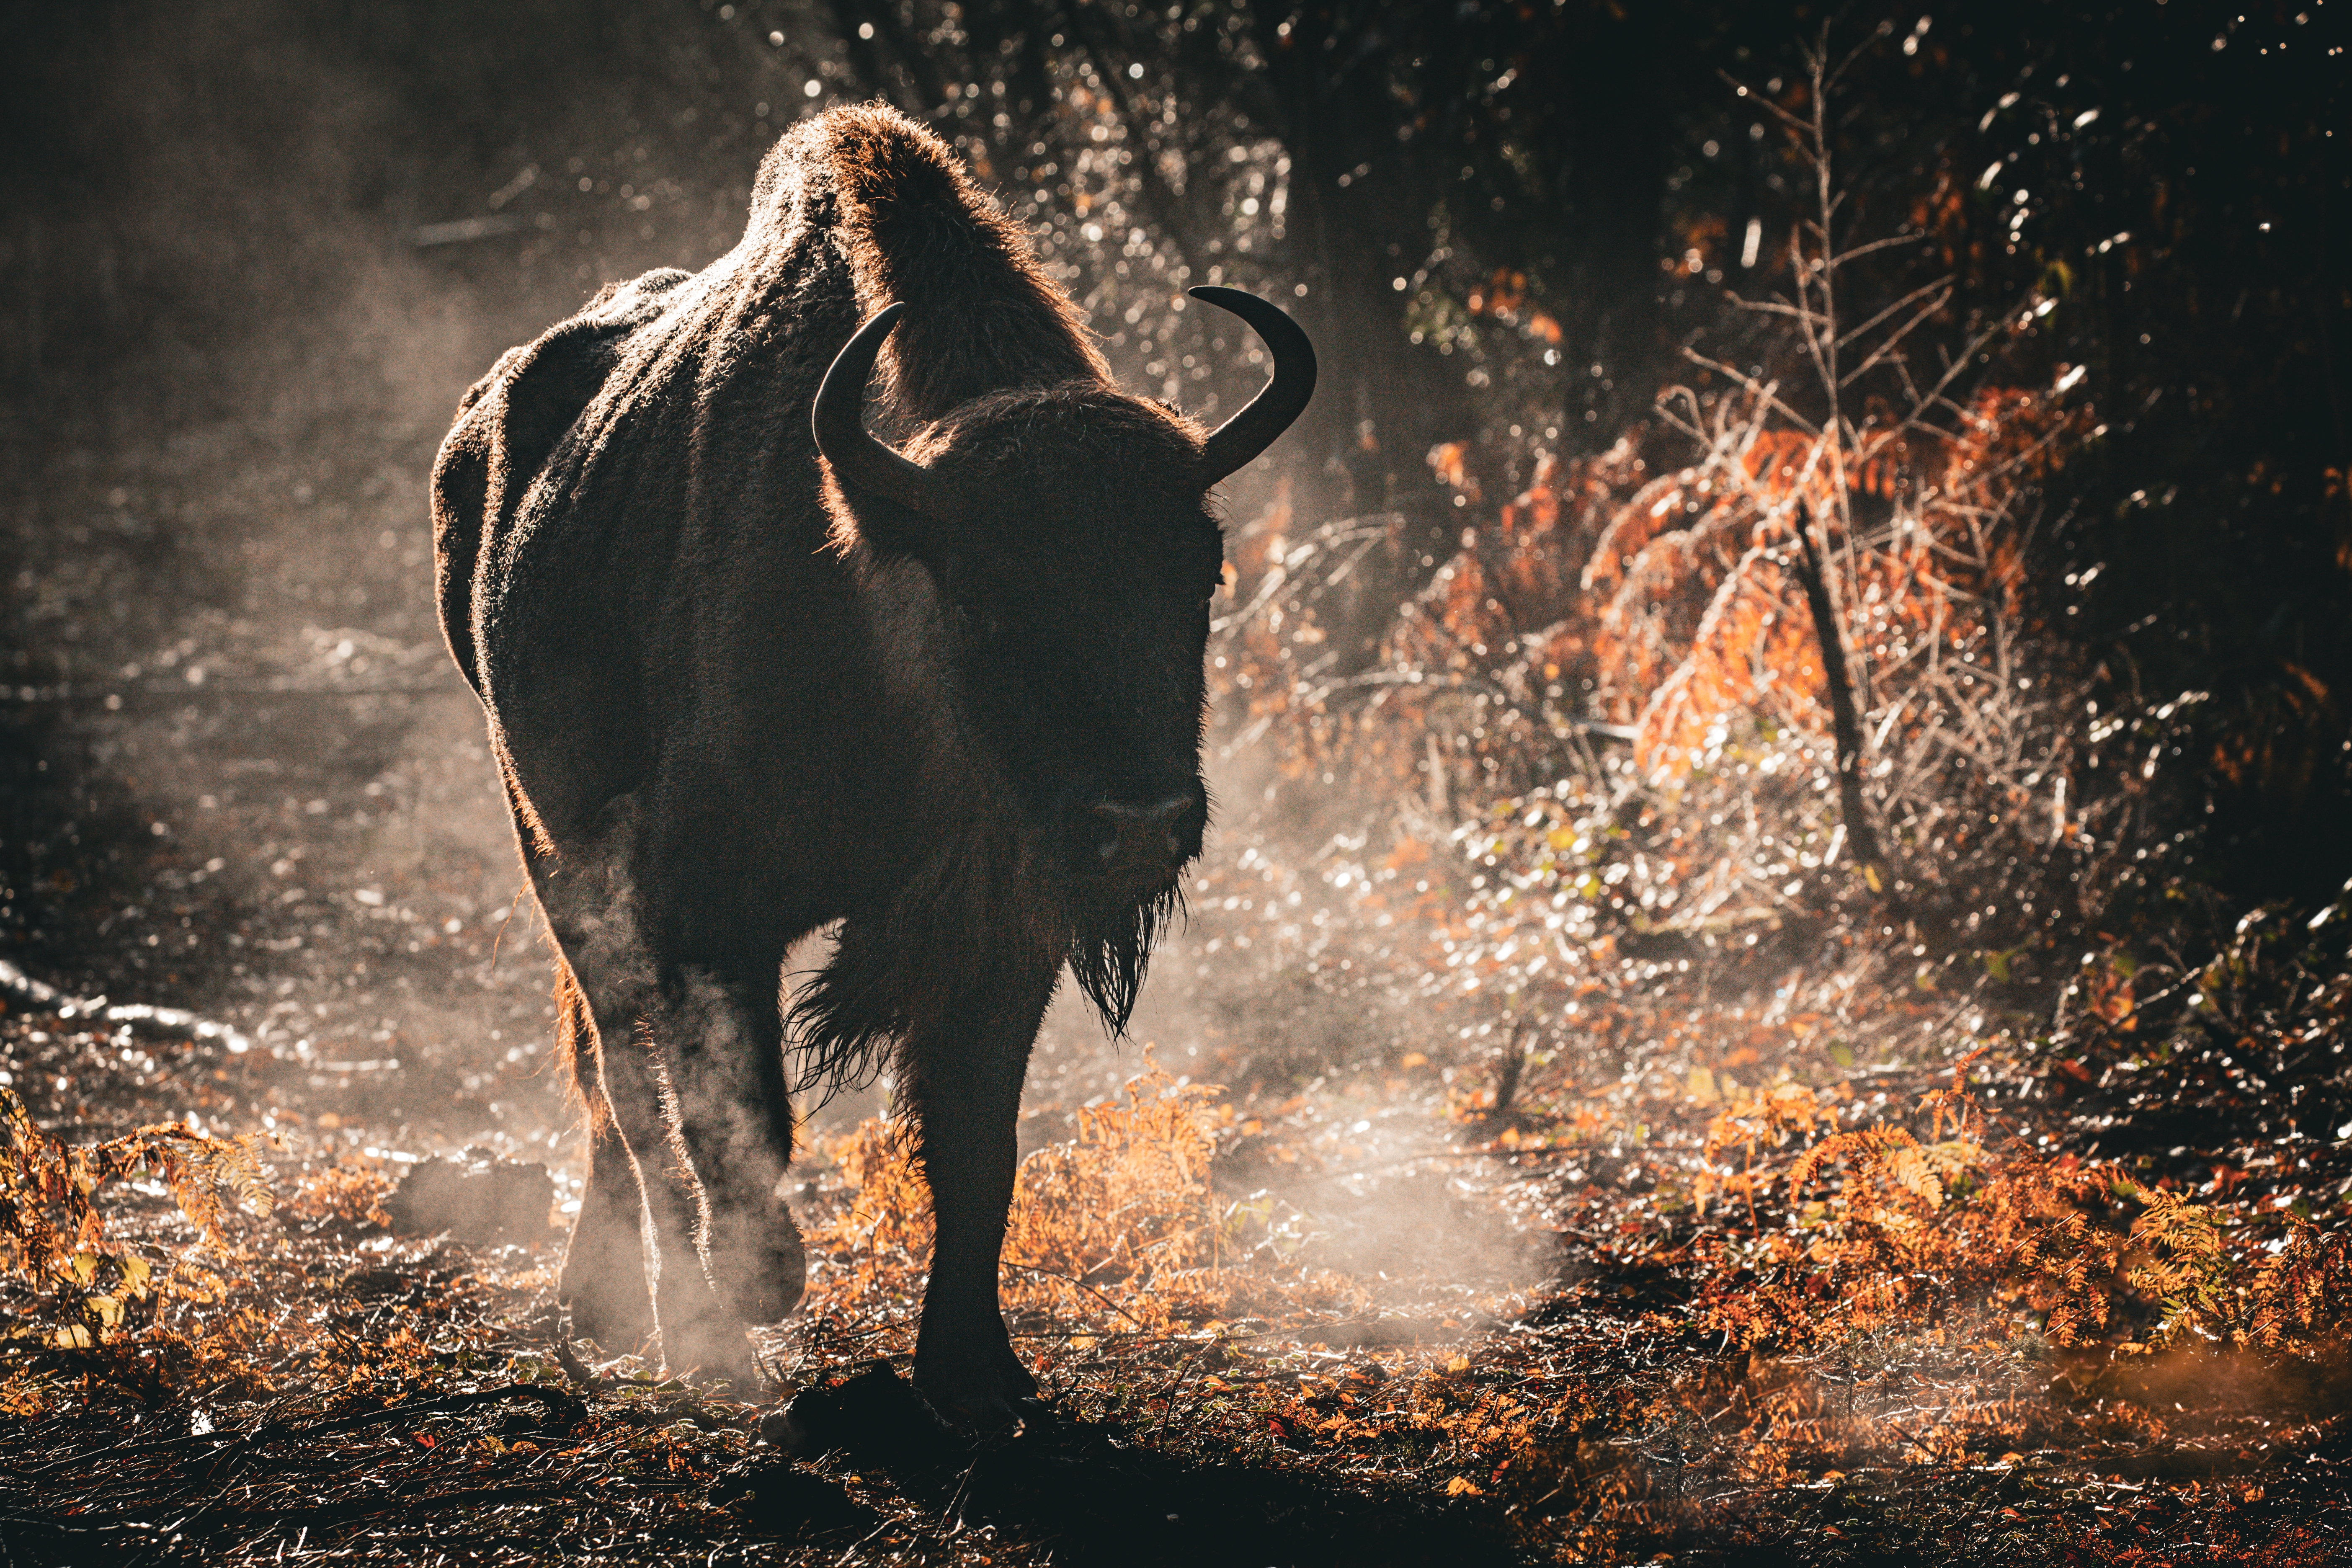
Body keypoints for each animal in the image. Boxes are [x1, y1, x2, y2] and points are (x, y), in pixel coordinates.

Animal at [430, 104, 1313, 1421]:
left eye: (1199, 570)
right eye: (984, 593)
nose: (1141, 820)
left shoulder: (1005, 928)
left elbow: (977, 1143)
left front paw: (977, 1376)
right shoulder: (705, 911)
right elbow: (737, 1123)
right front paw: (760, 1295)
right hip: (554, 845)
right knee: (631, 1095)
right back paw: (692, 1335)